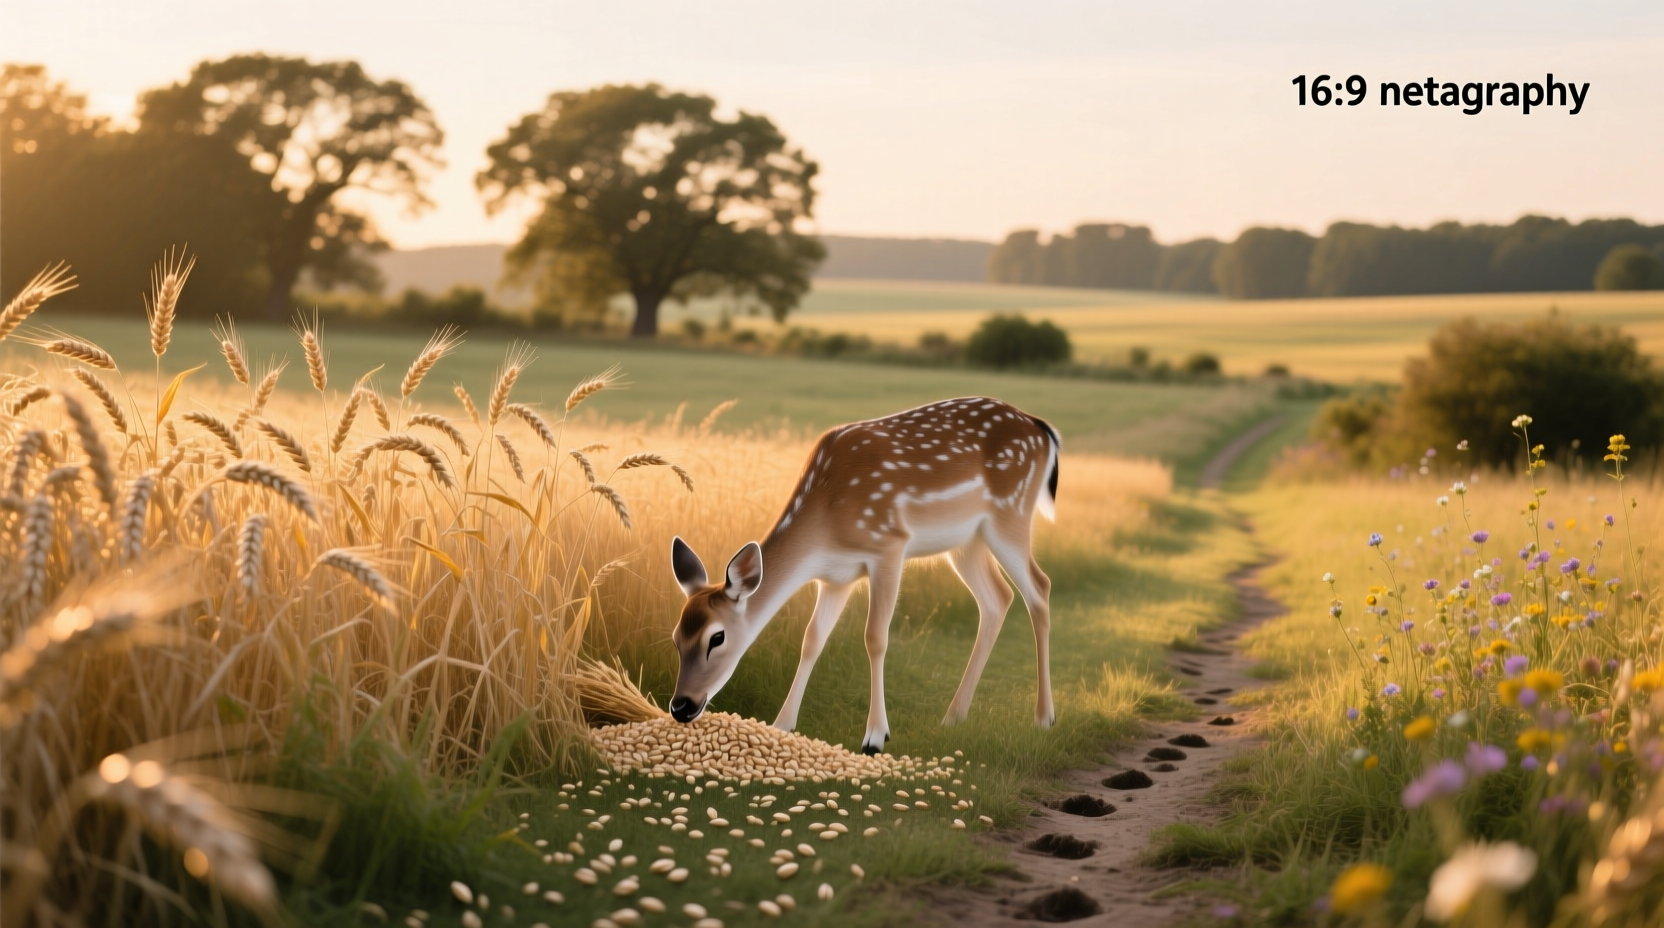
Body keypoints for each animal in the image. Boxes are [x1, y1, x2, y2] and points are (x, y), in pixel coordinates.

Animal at [666, 396, 1060, 755]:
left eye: (716, 638)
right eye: (675, 638)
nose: (681, 706)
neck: (825, 522)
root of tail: (1042, 429)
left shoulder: (888, 544)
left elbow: (875, 637)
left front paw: (874, 738)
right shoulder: (835, 577)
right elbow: (812, 639)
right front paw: (781, 725)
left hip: (1009, 513)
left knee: (1039, 587)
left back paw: (1044, 717)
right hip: (966, 542)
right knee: (998, 598)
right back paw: (953, 716)